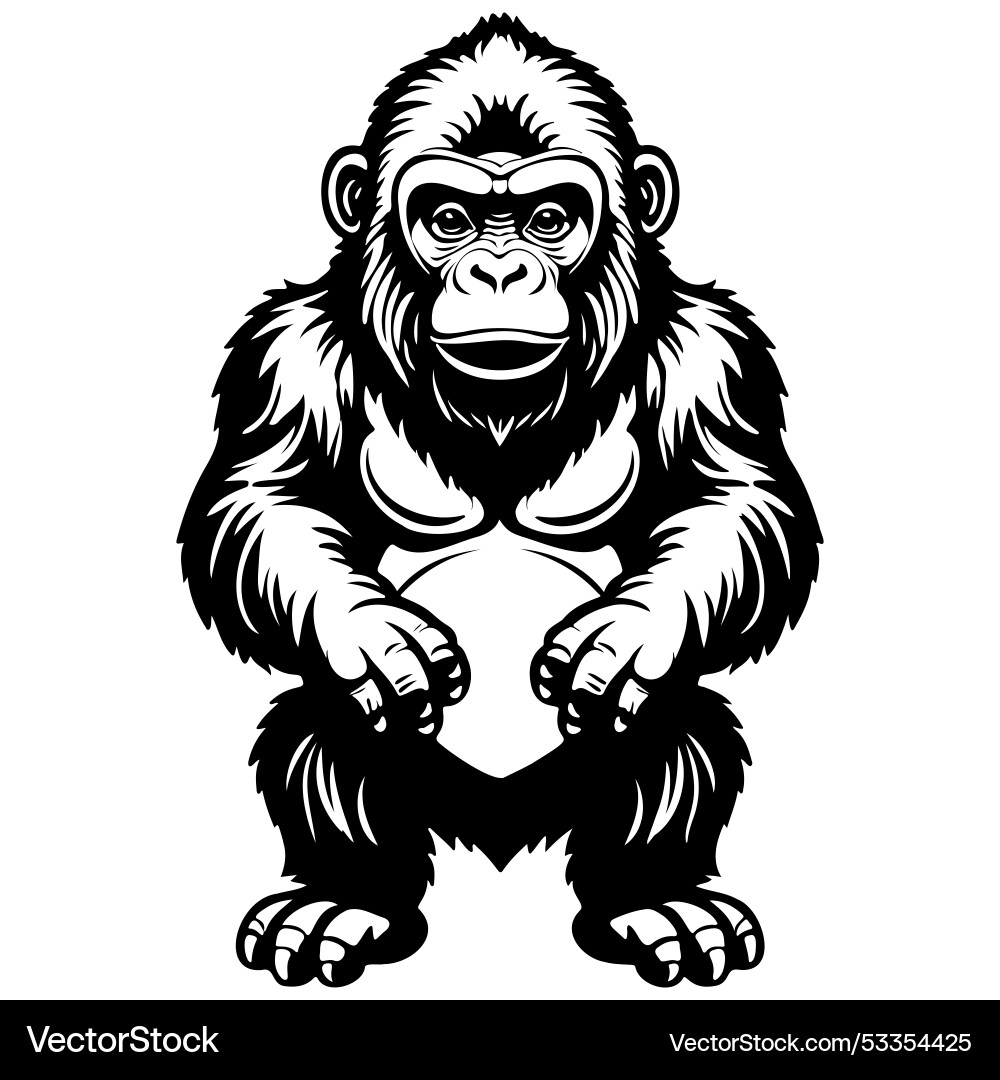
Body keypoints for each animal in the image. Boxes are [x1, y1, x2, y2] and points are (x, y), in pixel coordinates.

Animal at [180, 16, 820, 988]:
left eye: (551, 218)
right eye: (448, 219)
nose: (499, 272)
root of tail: (500, 830)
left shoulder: (715, 351)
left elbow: (735, 499)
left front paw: (624, 635)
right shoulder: (285, 352)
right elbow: (264, 499)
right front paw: (376, 634)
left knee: (678, 717)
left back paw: (654, 900)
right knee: (322, 716)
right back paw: (345, 900)